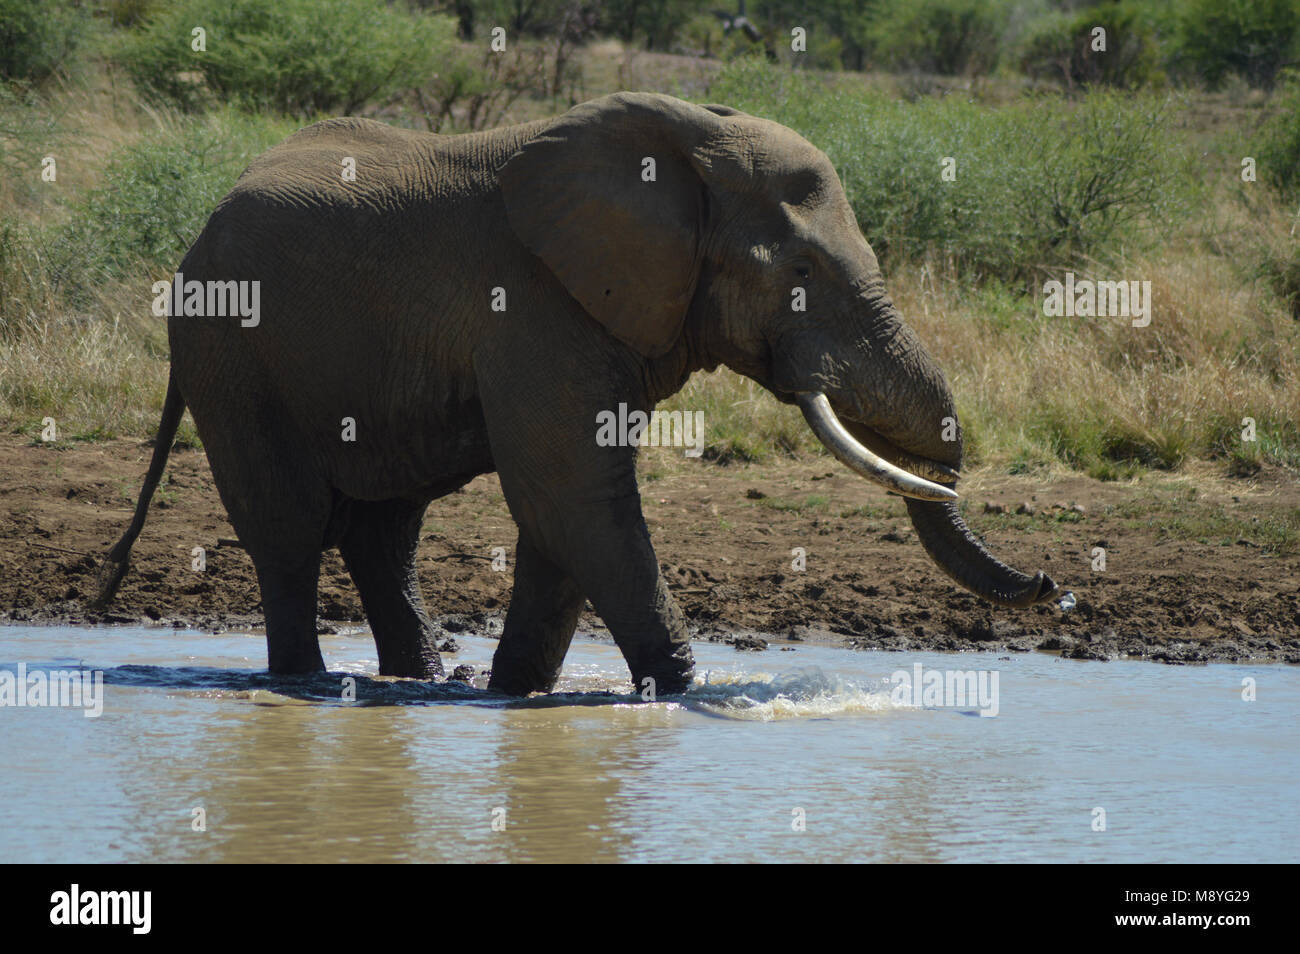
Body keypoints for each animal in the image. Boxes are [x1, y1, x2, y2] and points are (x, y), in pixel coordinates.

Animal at [94, 92, 1056, 696]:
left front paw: (514, 695)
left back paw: (426, 683)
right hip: (230, 351)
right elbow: (577, 502)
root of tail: (199, 233)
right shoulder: (535, 305)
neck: (682, 147)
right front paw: (686, 693)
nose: (1053, 585)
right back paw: (309, 683)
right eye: (800, 272)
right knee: (291, 532)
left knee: (385, 530)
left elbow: (564, 517)